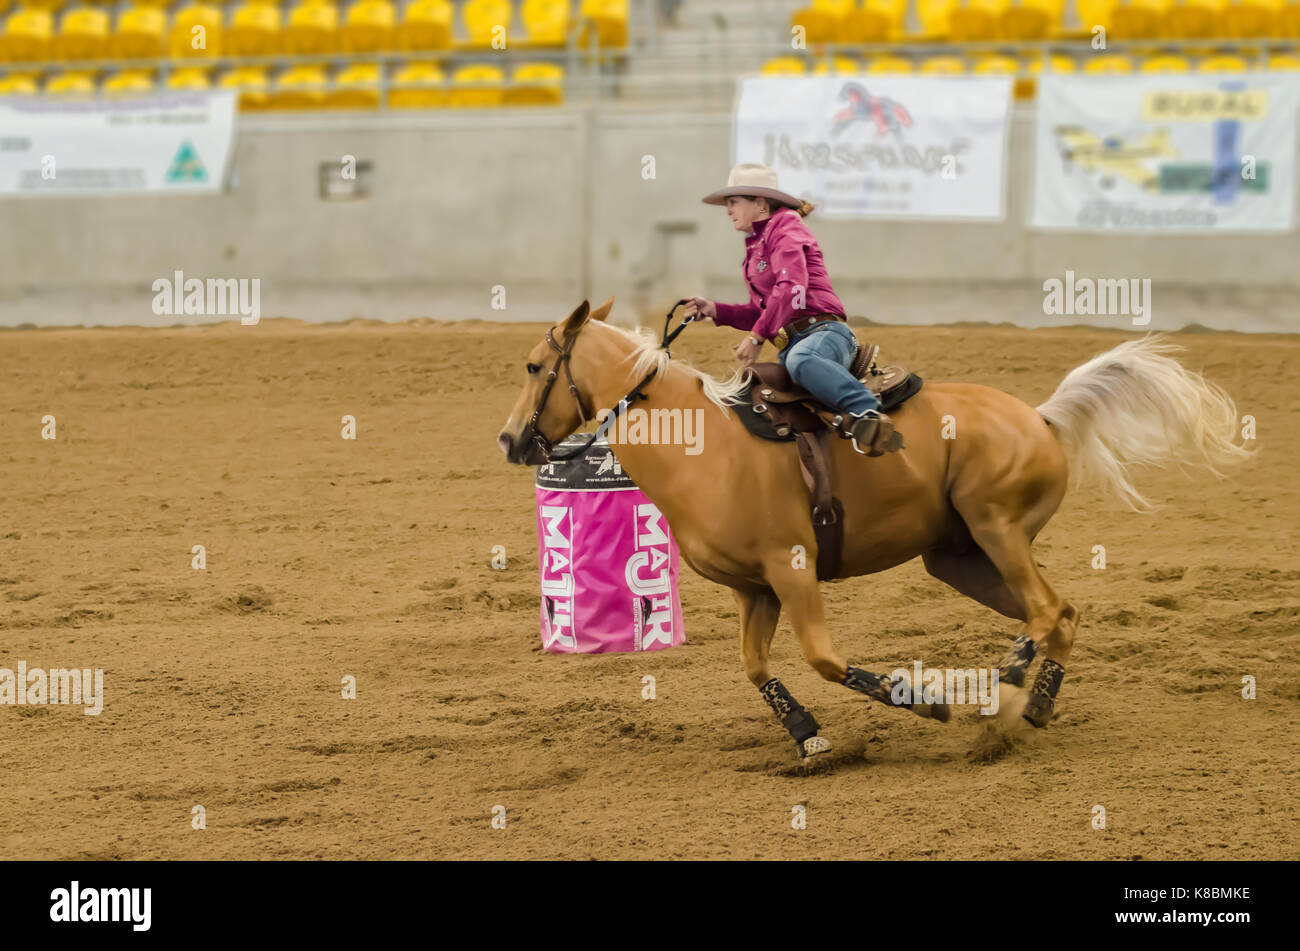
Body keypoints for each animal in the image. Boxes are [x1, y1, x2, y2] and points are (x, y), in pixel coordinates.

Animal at [497, 296, 1252, 761]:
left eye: (534, 365)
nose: (509, 439)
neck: (704, 443)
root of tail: (1042, 416)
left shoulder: (793, 567)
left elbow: (824, 657)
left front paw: (923, 703)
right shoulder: (754, 589)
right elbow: (756, 665)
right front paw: (807, 737)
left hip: (997, 529)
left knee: (1044, 610)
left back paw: (1005, 694)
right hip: (959, 558)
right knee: (1061, 613)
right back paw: (1031, 707)